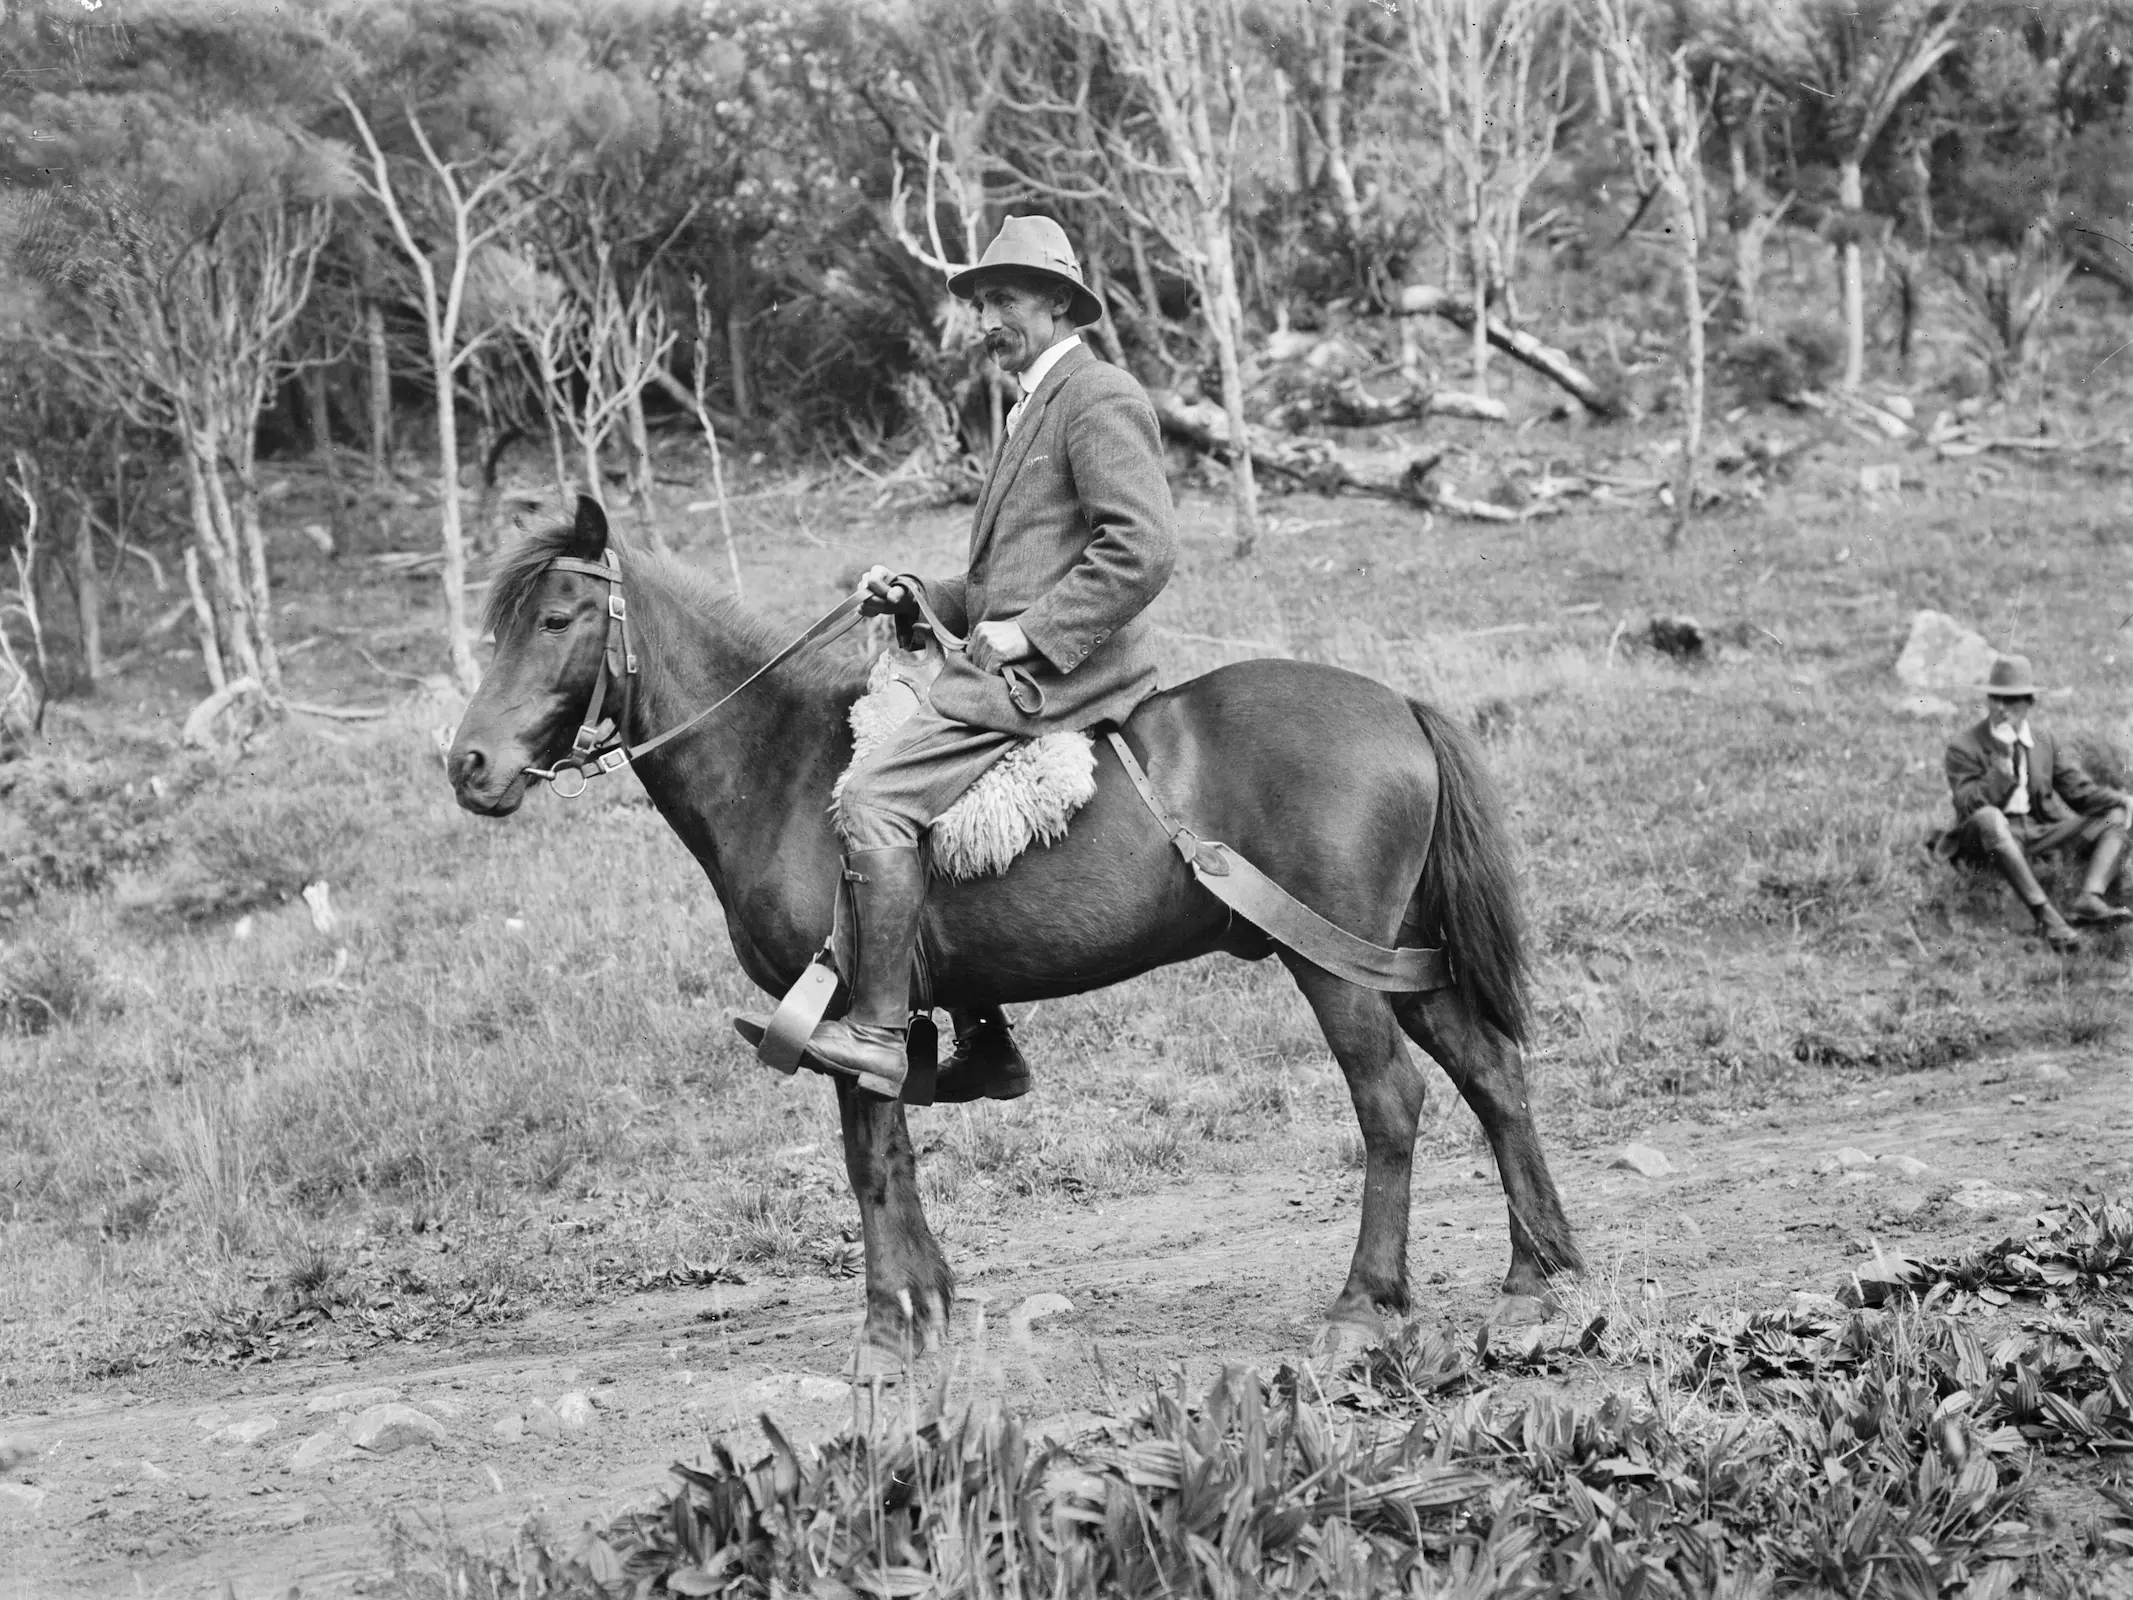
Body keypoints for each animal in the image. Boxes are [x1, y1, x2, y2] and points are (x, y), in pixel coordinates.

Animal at [447, 497, 1581, 1373]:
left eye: (557, 617)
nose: (468, 764)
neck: (779, 766)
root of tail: (1396, 705)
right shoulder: (892, 1020)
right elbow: (894, 1157)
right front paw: (931, 1304)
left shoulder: (848, 1018)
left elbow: (869, 1159)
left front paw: (886, 1329)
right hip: (1394, 961)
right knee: (1493, 1076)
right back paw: (1541, 1286)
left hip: (1331, 967)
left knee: (1391, 1103)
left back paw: (1363, 1306)